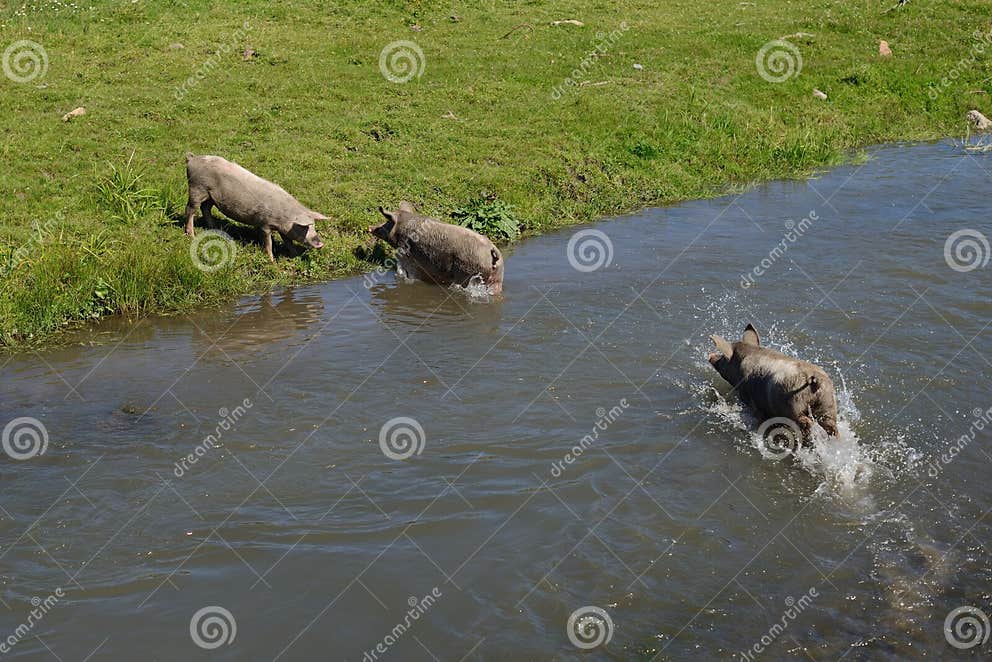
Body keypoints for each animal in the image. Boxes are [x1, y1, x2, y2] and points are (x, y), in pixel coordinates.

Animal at [184, 153, 326, 262]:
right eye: (304, 227)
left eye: (314, 226)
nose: (321, 243)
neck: (285, 216)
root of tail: (192, 159)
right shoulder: (264, 224)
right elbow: (268, 243)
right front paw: (272, 261)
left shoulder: (283, 229)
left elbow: (288, 241)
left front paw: (295, 255)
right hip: (197, 188)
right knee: (190, 210)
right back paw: (191, 235)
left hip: (210, 196)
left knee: (205, 209)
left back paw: (216, 229)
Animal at [369, 201, 504, 295]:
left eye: (388, 222)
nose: (369, 227)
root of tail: (492, 249)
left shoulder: (407, 256)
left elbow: (407, 273)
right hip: (497, 277)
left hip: (467, 272)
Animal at [707, 324, 839, 439]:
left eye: (723, 358)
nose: (710, 356)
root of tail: (815, 381)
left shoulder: (749, 397)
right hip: (828, 403)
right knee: (831, 426)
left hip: (794, 403)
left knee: (805, 422)